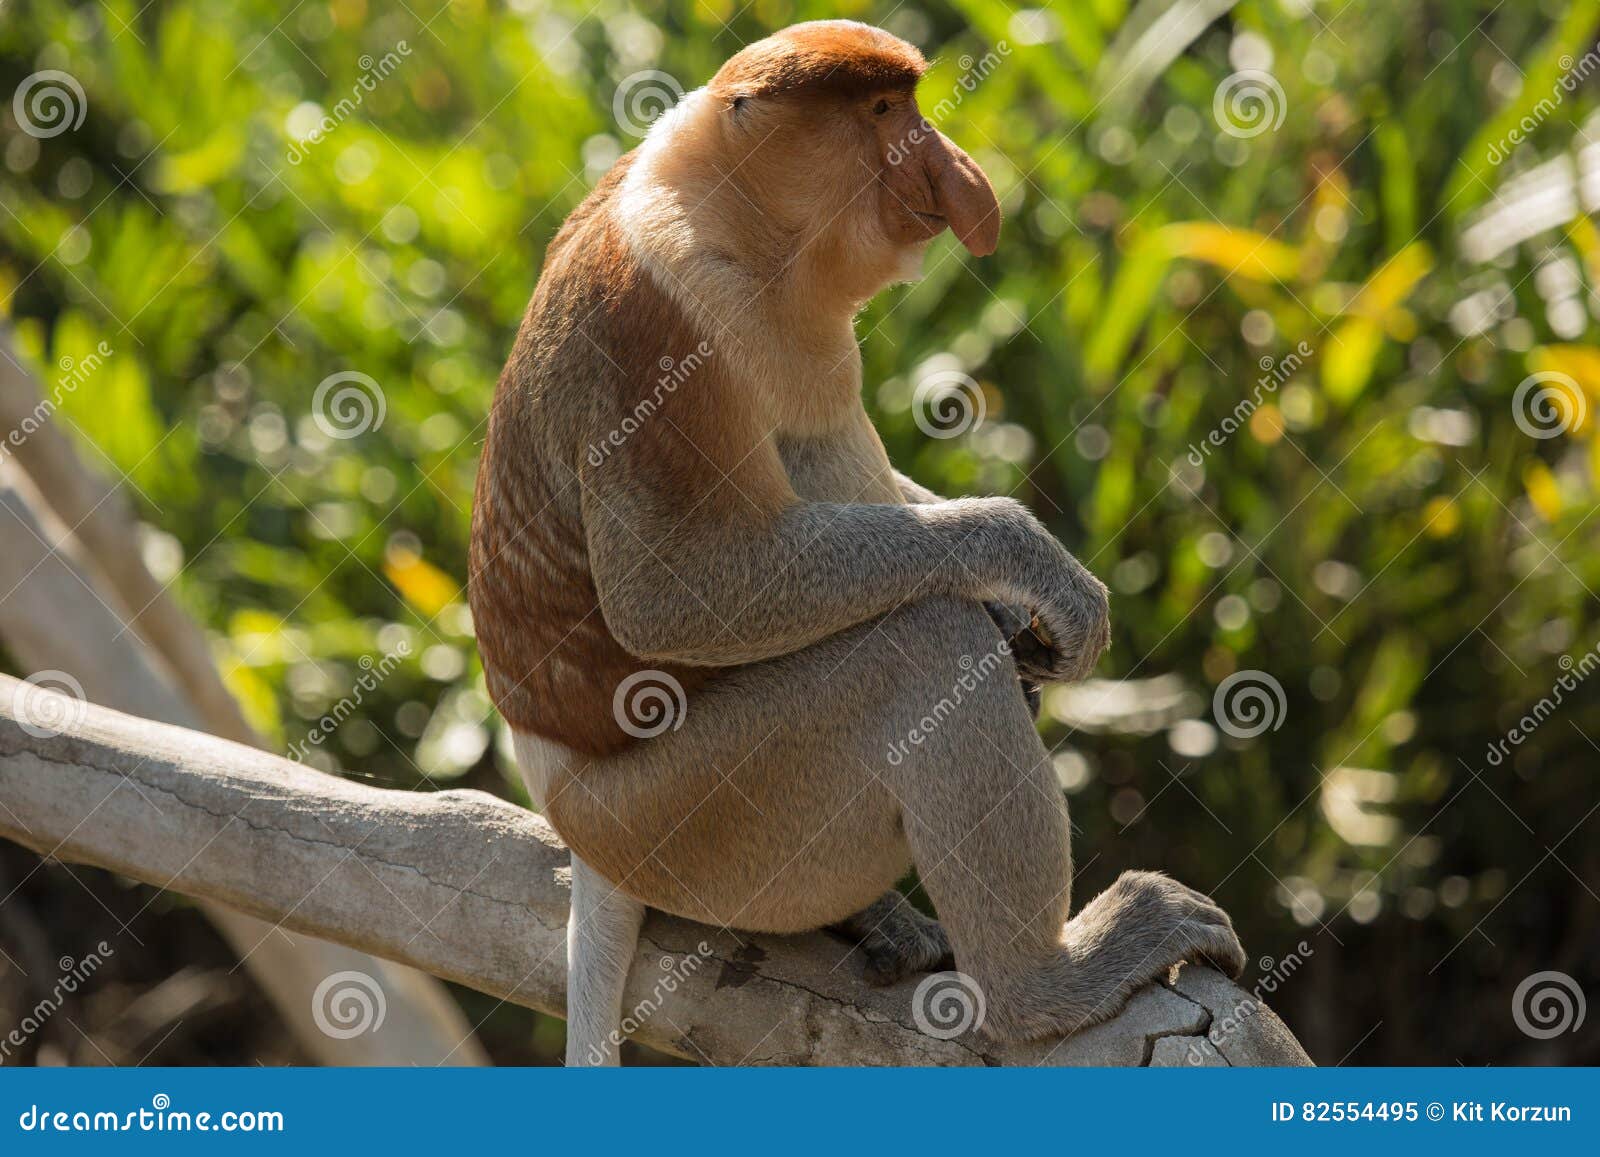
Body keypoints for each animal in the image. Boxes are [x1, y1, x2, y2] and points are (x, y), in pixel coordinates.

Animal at [468, 20, 1245, 1066]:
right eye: (882, 113)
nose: (957, 174)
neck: (725, 208)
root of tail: (571, 815)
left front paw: (1025, 607)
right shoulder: (664, 333)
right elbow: (672, 593)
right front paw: (1034, 567)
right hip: (689, 816)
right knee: (922, 647)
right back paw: (1047, 983)